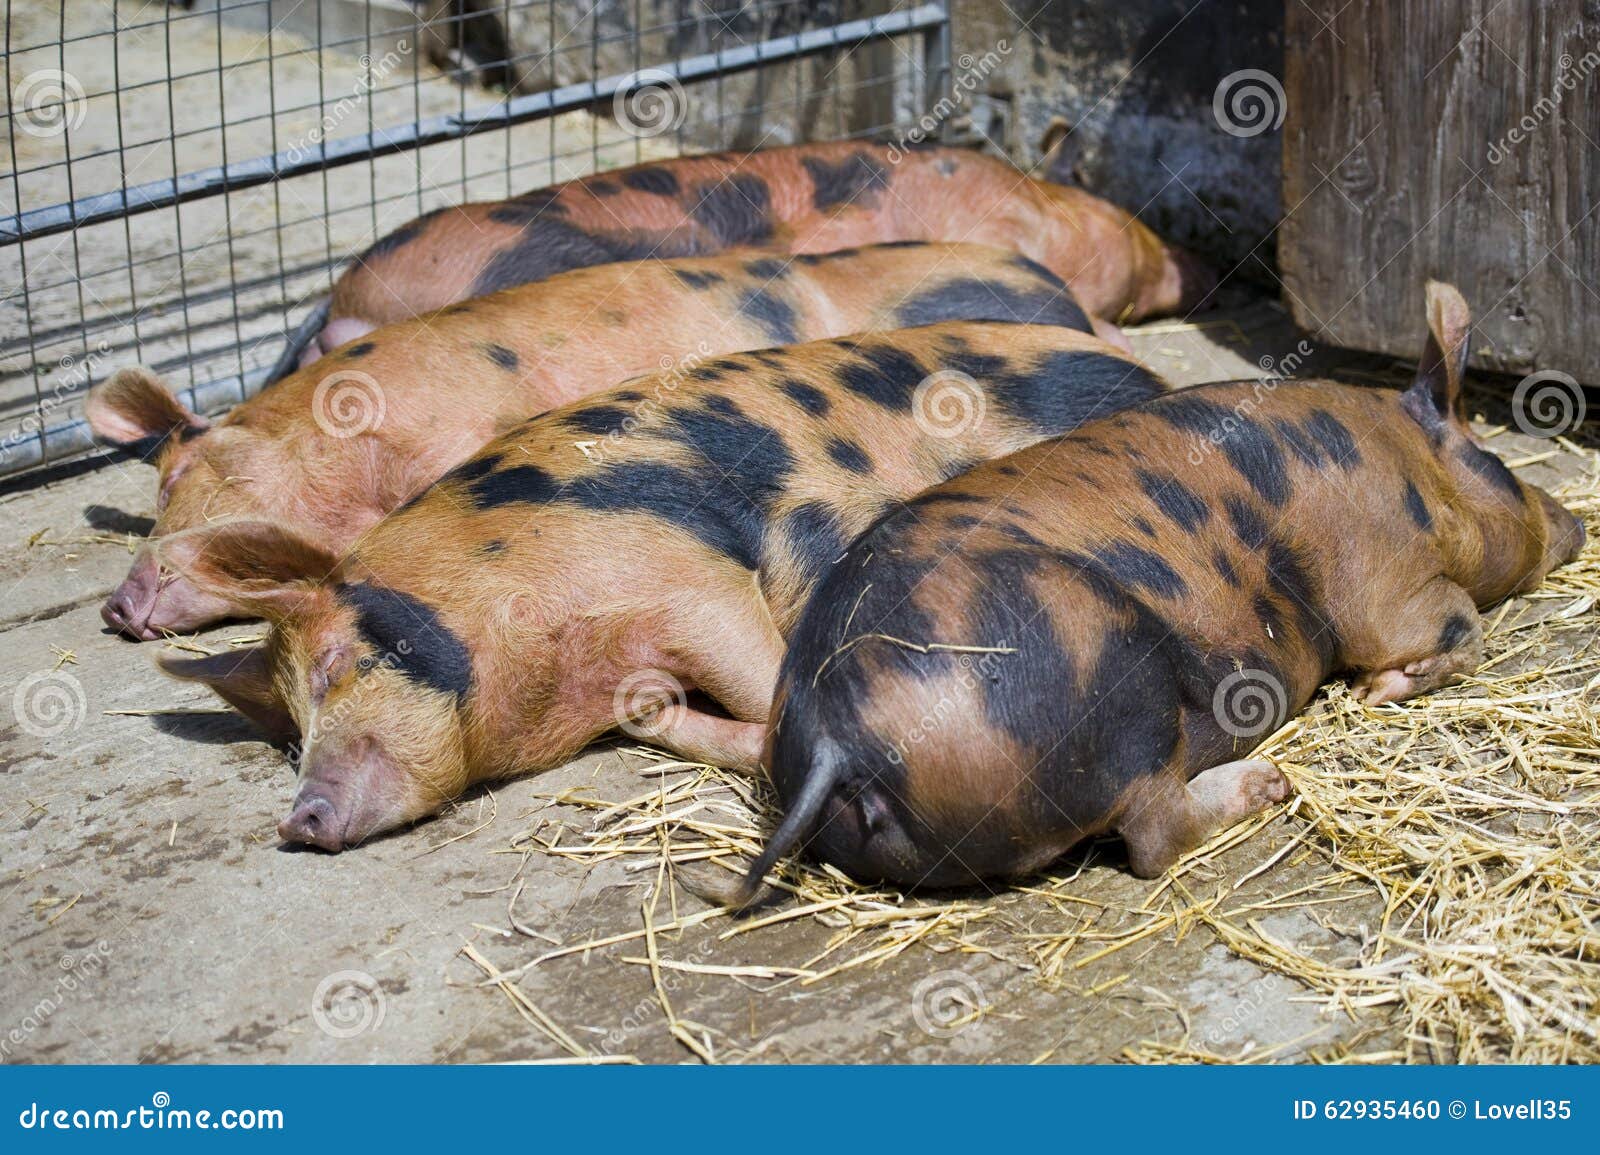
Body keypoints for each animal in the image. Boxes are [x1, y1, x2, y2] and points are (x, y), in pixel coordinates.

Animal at [150, 320, 1171, 851]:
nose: (300, 818)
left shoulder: (692, 580)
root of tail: (1148, 370)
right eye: (288, 735)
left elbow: (766, 677)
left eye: (337, 666)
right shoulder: (634, 682)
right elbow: (668, 721)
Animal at [733, 283, 1586, 900]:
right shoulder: (1385, 578)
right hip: (1118, 683)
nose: (1575, 522)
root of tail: (840, 735)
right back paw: (1267, 784)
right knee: (1154, 833)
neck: (1408, 464)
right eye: (1498, 463)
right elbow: (1452, 626)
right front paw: (1382, 691)